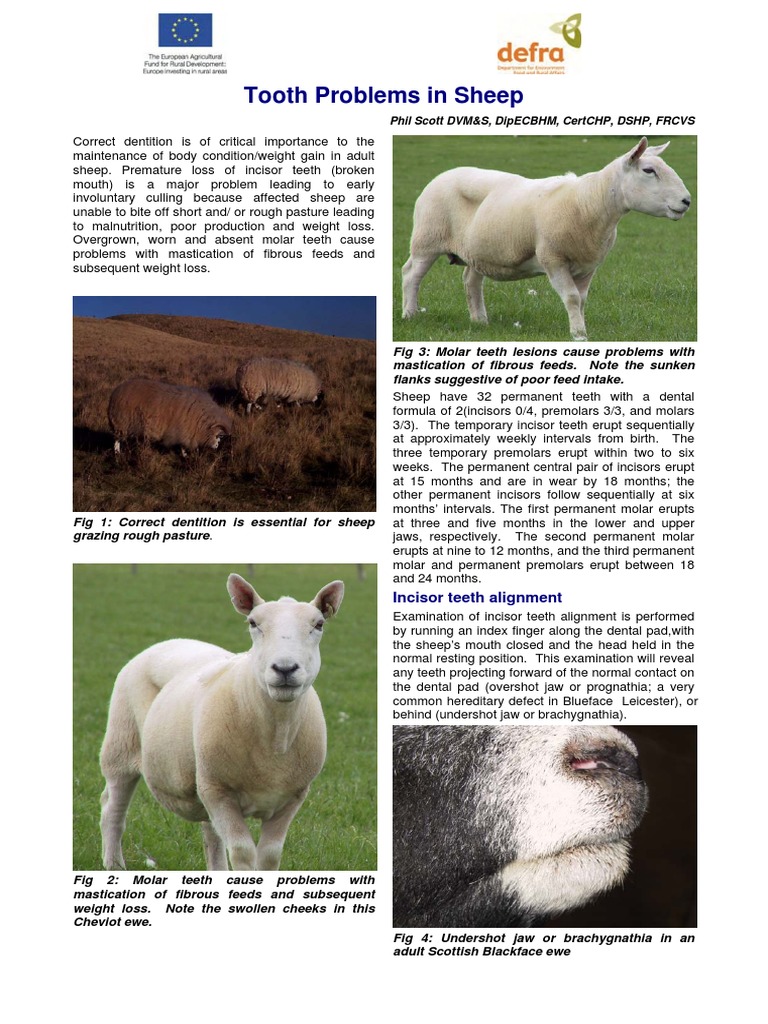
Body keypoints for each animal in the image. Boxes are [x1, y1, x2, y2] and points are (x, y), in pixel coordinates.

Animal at [99, 573, 345, 870]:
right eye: (253, 623)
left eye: (318, 624)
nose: (285, 669)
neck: (275, 739)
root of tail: (169, 641)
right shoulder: (219, 792)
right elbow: (242, 852)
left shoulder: (292, 797)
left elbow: (270, 856)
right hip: (121, 747)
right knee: (112, 808)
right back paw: (113, 863)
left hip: (198, 779)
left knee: (210, 834)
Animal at [402, 137, 691, 340]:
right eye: (649, 170)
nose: (687, 201)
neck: (590, 202)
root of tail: (443, 174)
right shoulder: (554, 259)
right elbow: (572, 298)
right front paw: (578, 335)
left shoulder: (588, 266)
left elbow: (581, 300)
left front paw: (580, 328)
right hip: (426, 239)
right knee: (411, 275)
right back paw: (410, 314)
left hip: (479, 250)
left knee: (470, 281)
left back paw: (480, 321)